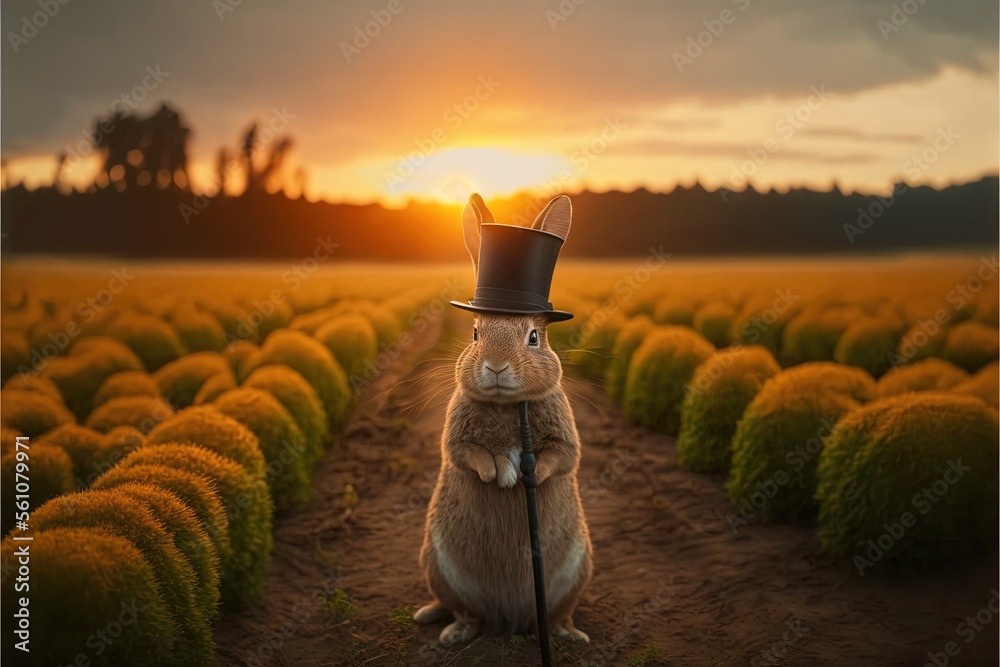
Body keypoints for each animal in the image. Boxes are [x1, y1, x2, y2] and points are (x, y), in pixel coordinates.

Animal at [414, 193, 593, 647]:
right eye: (476, 333)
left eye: (534, 337)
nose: (495, 367)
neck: (506, 403)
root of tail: (510, 617)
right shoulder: (457, 440)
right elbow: (471, 455)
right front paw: (502, 474)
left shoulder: (563, 437)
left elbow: (560, 458)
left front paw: (524, 475)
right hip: (438, 567)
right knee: (463, 610)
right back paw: (448, 630)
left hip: (579, 571)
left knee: (561, 611)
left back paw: (569, 634)